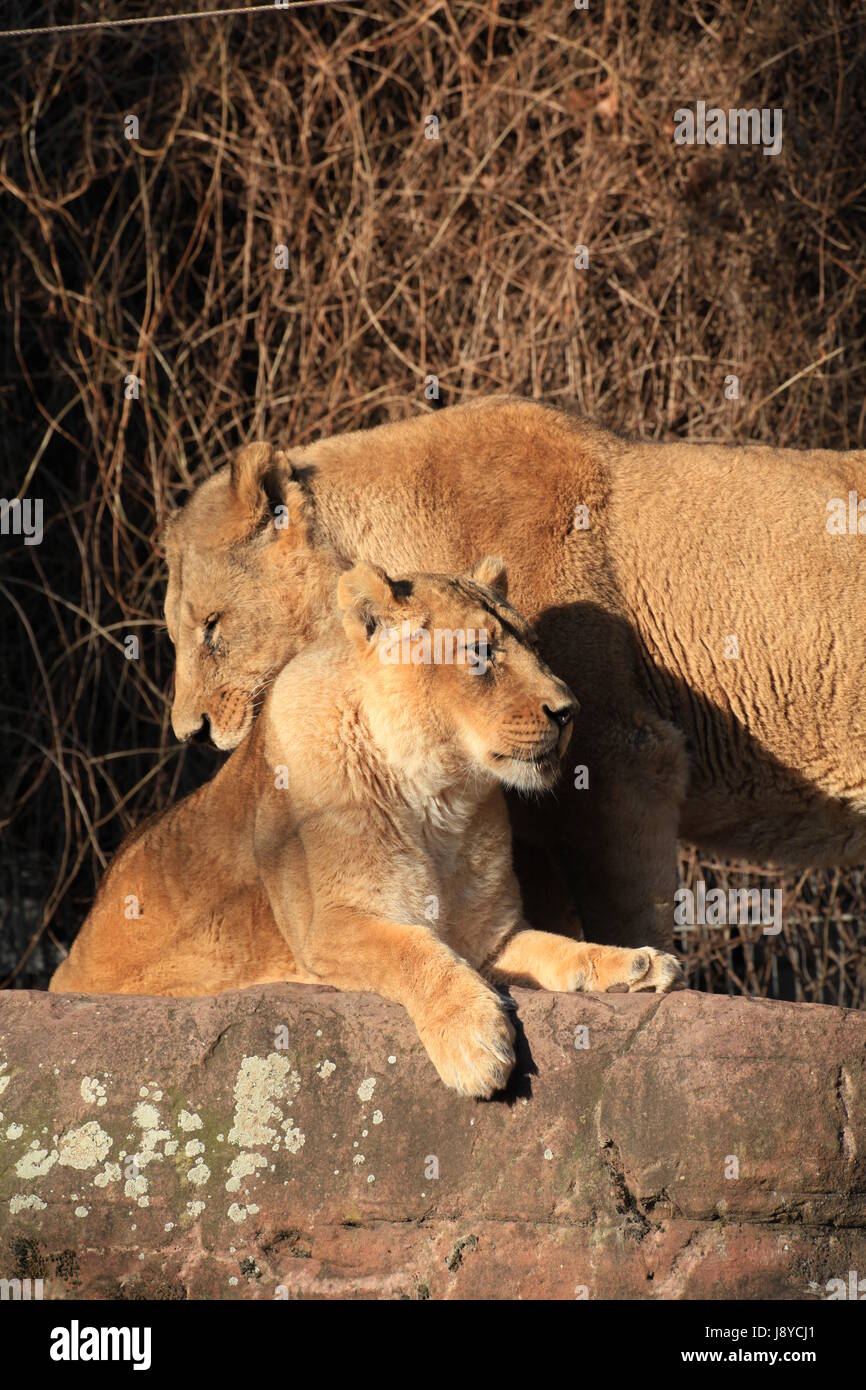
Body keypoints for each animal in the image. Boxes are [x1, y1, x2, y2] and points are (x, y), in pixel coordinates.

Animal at [50, 556, 682, 1097]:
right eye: (480, 653)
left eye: (536, 647)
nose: (568, 710)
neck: (439, 801)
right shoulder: (328, 930)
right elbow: (414, 951)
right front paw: (473, 1040)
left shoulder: (491, 938)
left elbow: (559, 948)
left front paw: (633, 964)